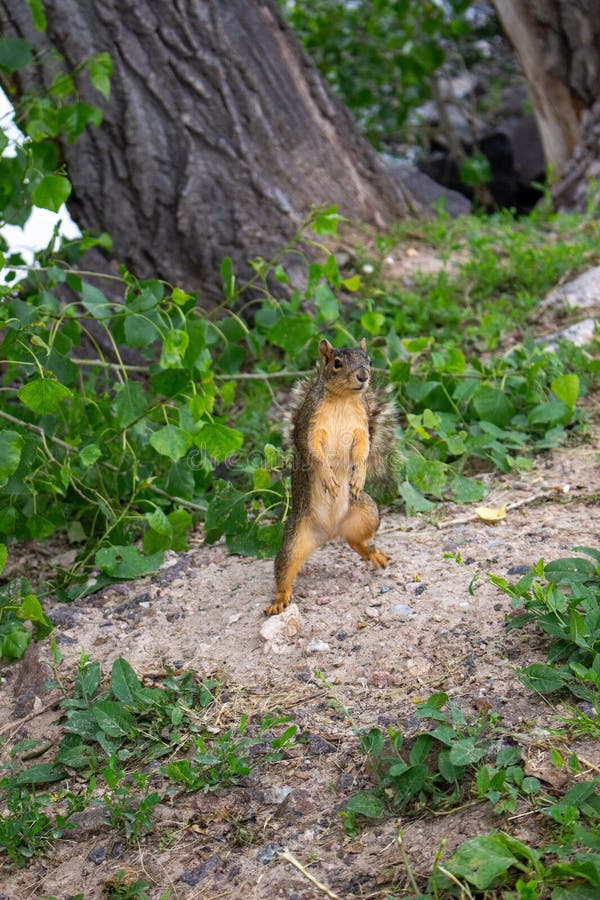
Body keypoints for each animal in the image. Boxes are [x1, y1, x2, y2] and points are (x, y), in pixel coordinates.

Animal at [266, 337, 397, 616]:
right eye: (337, 363)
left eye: (369, 360)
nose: (363, 376)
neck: (343, 401)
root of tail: (329, 533)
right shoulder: (309, 428)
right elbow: (314, 454)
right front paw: (327, 476)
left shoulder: (361, 428)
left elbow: (363, 451)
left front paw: (359, 476)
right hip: (294, 540)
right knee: (284, 569)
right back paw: (280, 599)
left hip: (368, 513)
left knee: (355, 541)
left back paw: (371, 553)